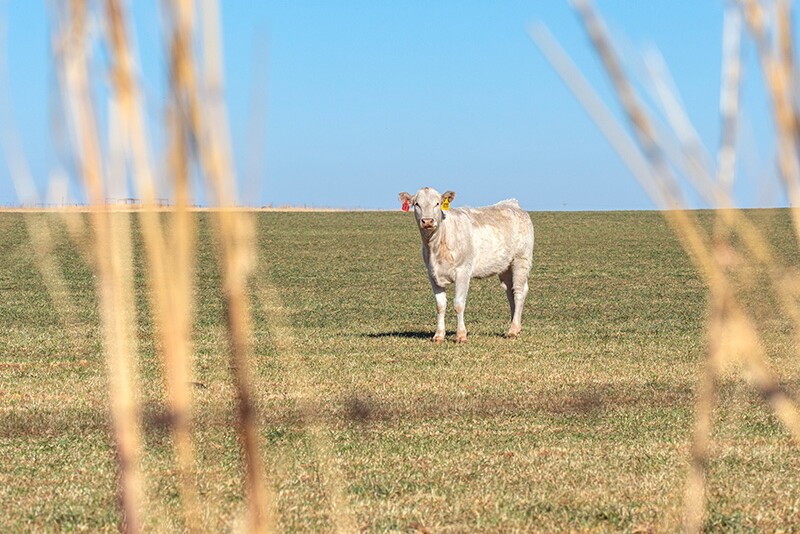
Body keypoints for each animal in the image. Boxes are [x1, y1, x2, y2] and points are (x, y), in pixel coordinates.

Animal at [398, 187, 534, 343]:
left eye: (437, 203)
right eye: (417, 204)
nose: (427, 221)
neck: (437, 246)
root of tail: (512, 204)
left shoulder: (463, 271)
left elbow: (458, 304)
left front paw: (461, 335)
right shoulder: (432, 274)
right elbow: (440, 306)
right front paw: (438, 335)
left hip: (521, 259)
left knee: (519, 291)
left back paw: (513, 329)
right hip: (505, 267)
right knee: (509, 292)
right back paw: (515, 327)